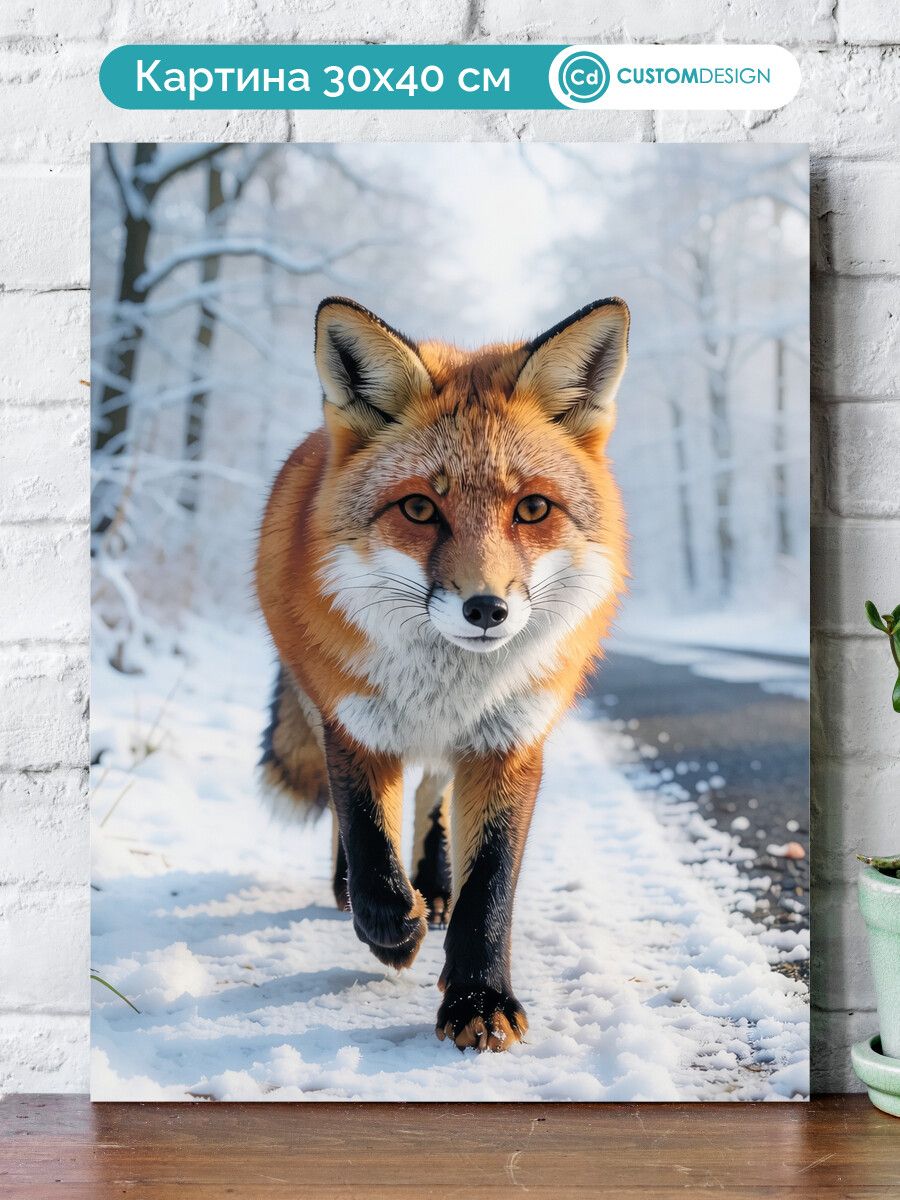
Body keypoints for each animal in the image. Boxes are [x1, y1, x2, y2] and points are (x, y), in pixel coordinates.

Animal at [255, 294, 630, 1053]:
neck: (450, 690)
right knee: (356, 821)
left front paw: (479, 999)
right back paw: (371, 897)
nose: (485, 608)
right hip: (318, 703)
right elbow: (368, 835)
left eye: (533, 508)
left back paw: (433, 886)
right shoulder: (355, 721)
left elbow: (490, 887)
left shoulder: (509, 739)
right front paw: (389, 929)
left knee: (432, 799)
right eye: (420, 508)